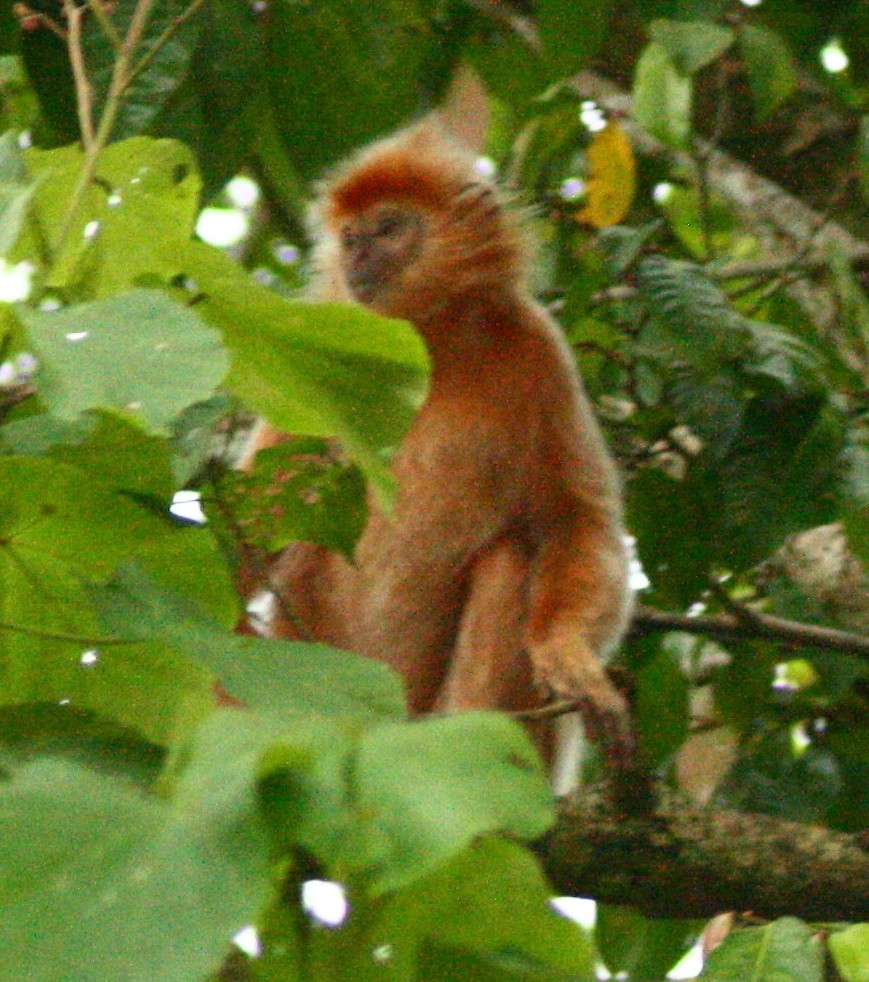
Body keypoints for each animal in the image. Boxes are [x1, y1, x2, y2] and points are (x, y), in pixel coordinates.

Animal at [238, 119, 634, 758]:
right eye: (350, 236)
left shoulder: (538, 348)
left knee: (509, 558)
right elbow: (254, 523)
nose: (359, 254)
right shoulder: (309, 354)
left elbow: (577, 521)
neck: (430, 340)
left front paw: (572, 661)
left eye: (388, 227)